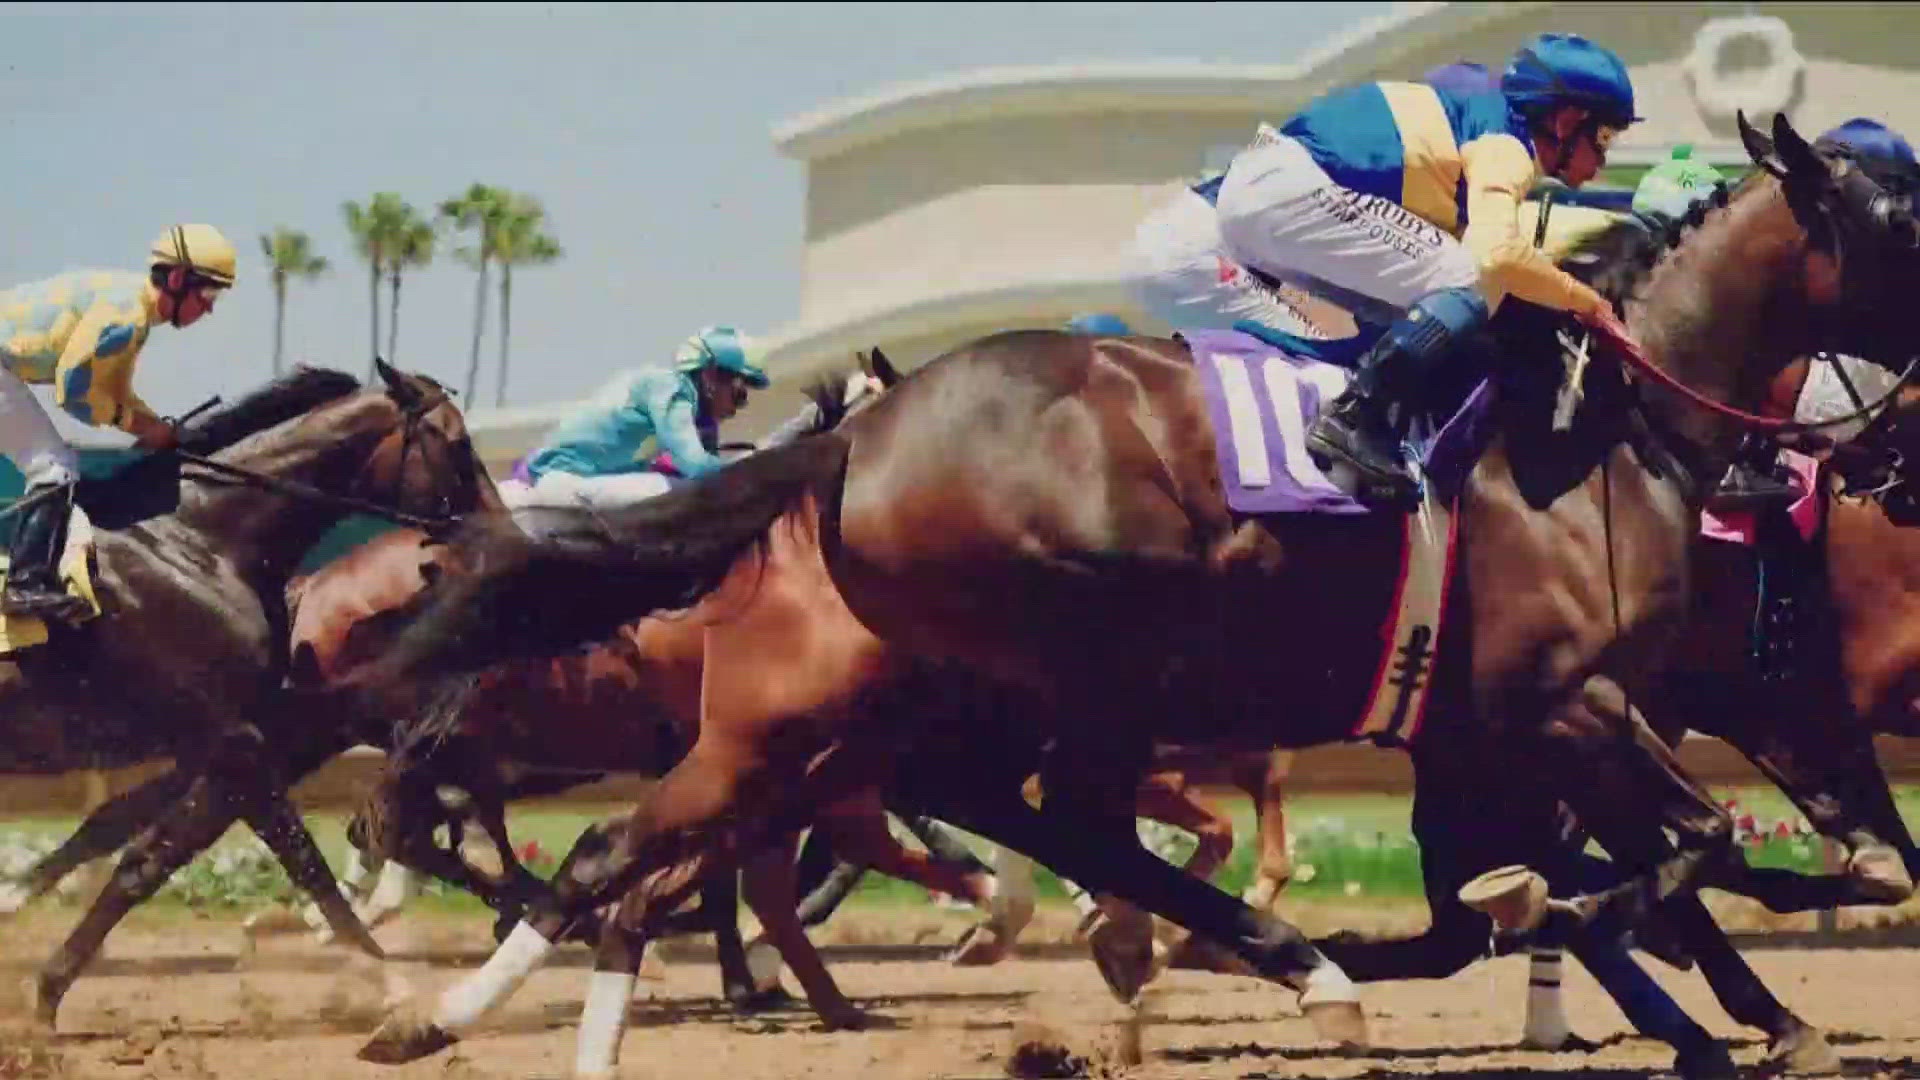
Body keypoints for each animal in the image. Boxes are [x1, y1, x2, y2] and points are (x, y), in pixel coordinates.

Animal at [0, 359, 498, 1026]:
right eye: (458, 444)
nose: (505, 530)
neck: (196, 542)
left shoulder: (218, 741)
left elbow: (129, 836)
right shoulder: (239, 741)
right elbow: (292, 857)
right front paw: (389, 982)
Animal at [344, 112, 1920, 1069]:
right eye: (1905, 218)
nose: (1889, 452)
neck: (1612, 428)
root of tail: (862, 428)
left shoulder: (1505, 729)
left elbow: (1608, 873)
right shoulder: (1561, 699)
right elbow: (1682, 849)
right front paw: (1643, 940)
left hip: (880, 710)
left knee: (654, 847)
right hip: (1068, 657)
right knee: (1036, 821)